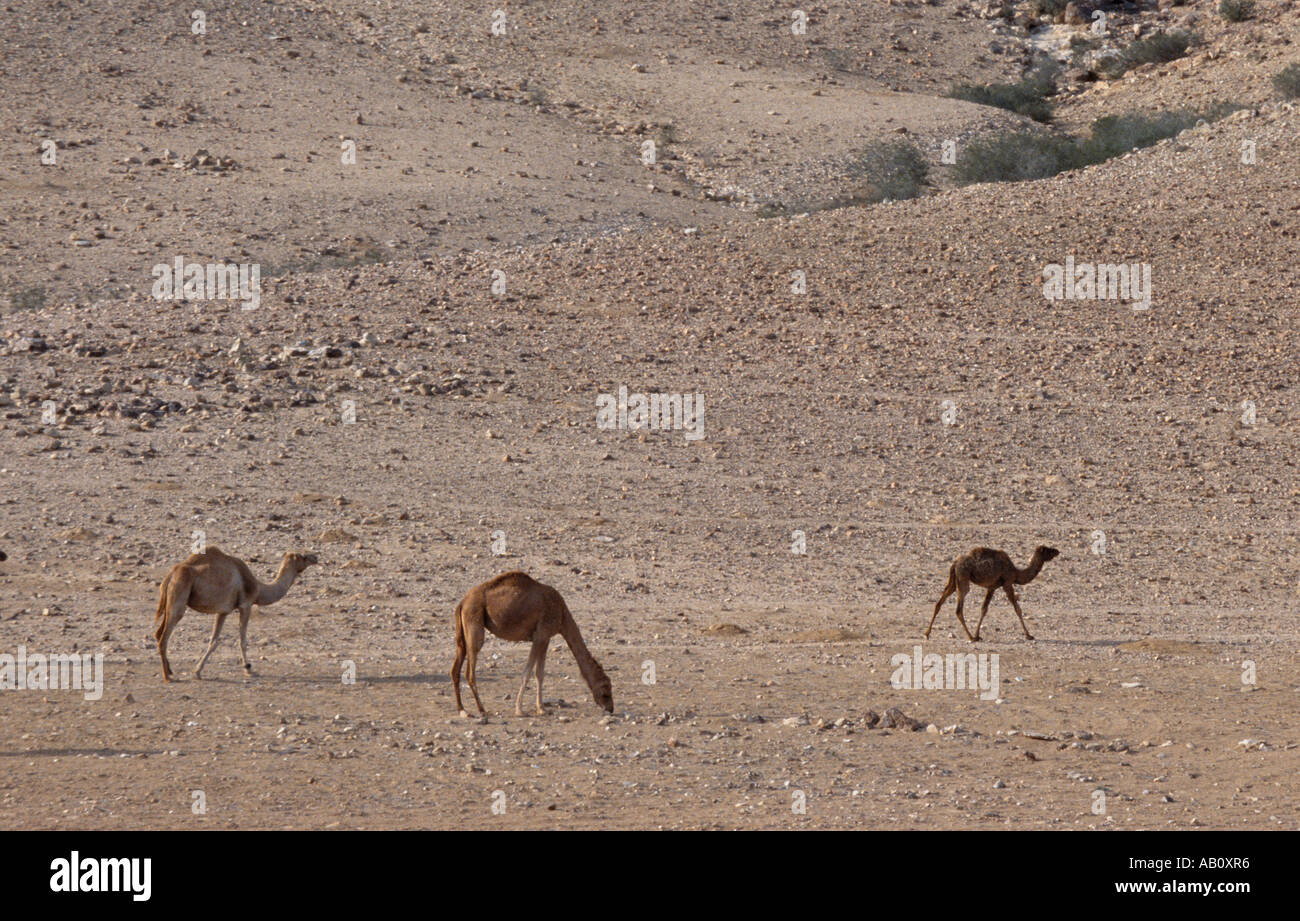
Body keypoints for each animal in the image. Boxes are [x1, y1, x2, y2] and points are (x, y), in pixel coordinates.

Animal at [154, 546, 318, 682]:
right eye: (303, 556)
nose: (315, 557)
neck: (259, 588)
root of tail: (170, 575)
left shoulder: (223, 611)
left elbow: (214, 640)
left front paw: (197, 671)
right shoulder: (246, 604)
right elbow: (242, 640)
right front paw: (249, 670)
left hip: (170, 601)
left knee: (158, 633)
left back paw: (170, 671)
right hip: (179, 596)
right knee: (163, 637)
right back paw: (168, 677)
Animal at [451, 571, 613, 717]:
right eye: (606, 690)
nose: (611, 708)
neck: (562, 615)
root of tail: (462, 602)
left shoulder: (546, 637)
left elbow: (539, 674)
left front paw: (541, 708)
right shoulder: (540, 635)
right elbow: (527, 672)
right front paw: (519, 710)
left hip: (463, 634)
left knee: (455, 669)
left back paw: (463, 710)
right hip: (474, 622)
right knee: (470, 672)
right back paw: (482, 710)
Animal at [925, 546, 1060, 642]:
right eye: (1048, 550)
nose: (1057, 551)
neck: (1016, 573)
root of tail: (955, 563)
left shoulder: (992, 587)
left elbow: (984, 609)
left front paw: (978, 635)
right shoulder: (1007, 583)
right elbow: (1017, 609)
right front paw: (1029, 635)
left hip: (954, 580)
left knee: (939, 602)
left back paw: (927, 633)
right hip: (963, 577)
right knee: (959, 608)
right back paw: (970, 637)